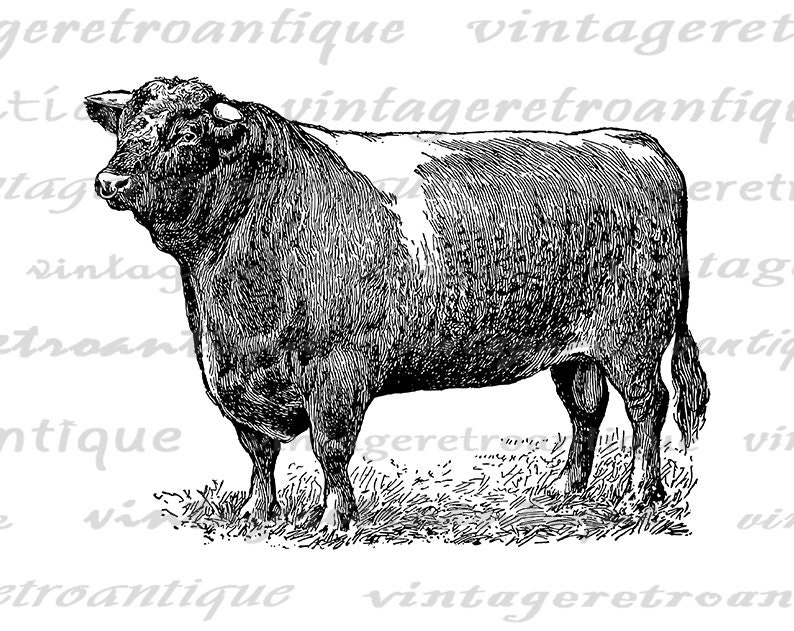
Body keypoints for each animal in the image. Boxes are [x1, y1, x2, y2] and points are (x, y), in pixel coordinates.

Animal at [86, 77, 709, 532]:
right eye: (125, 126)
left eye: (186, 134)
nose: (109, 181)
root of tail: (632, 142)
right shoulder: (231, 371)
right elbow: (259, 451)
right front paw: (256, 517)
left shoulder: (336, 371)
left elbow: (331, 448)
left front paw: (336, 524)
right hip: (575, 347)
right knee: (586, 407)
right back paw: (568, 493)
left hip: (634, 336)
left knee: (649, 407)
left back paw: (644, 498)